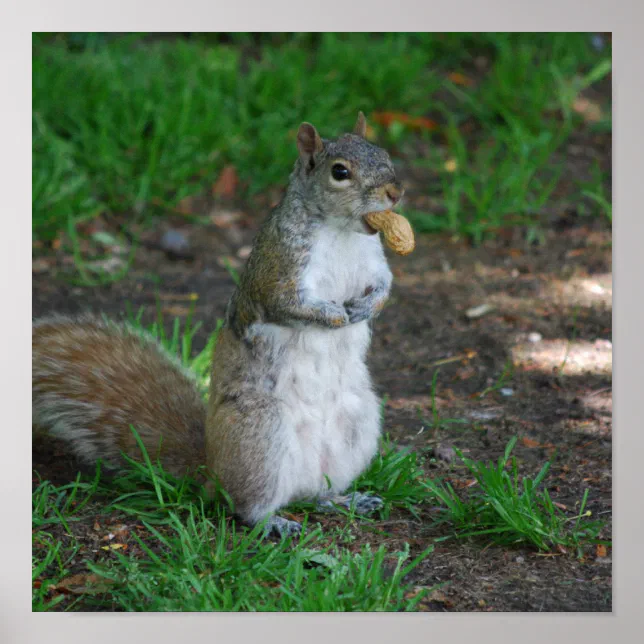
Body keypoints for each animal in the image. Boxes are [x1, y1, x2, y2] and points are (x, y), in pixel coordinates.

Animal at [32, 112, 404, 537]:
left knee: (316, 494)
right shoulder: (278, 268)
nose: (395, 193)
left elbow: (384, 285)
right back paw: (274, 522)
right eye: (339, 171)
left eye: (384, 154)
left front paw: (366, 307)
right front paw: (335, 315)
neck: (342, 232)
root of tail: (212, 471)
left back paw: (345, 499)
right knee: (247, 506)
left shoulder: (373, 262)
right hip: (260, 435)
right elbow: (287, 304)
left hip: (357, 424)